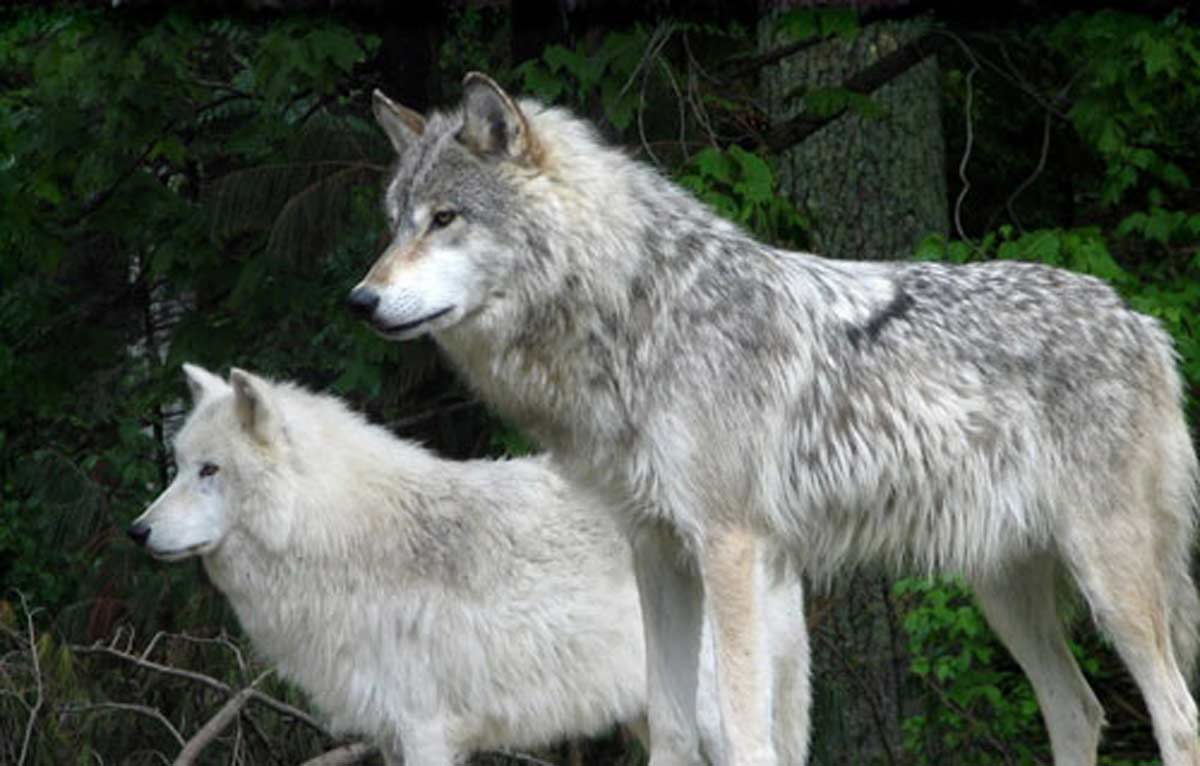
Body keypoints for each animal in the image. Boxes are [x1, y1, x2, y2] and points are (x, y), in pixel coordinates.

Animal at [126, 364, 810, 766]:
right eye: (179, 465)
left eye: (210, 471)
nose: (138, 532)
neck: (336, 535)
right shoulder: (391, 736)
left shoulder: (426, 729)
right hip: (655, 718)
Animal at [347, 72, 1200, 766]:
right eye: (393, 222)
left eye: (445, 218)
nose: (361, 300)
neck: (639, 318)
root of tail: (1137, 319)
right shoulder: (658, 555)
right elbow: (671, 732)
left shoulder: (732, 548)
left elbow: (746, 732)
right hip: (1006, 591)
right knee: (1078, 710)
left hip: (1109, 581)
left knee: (1178, 715)